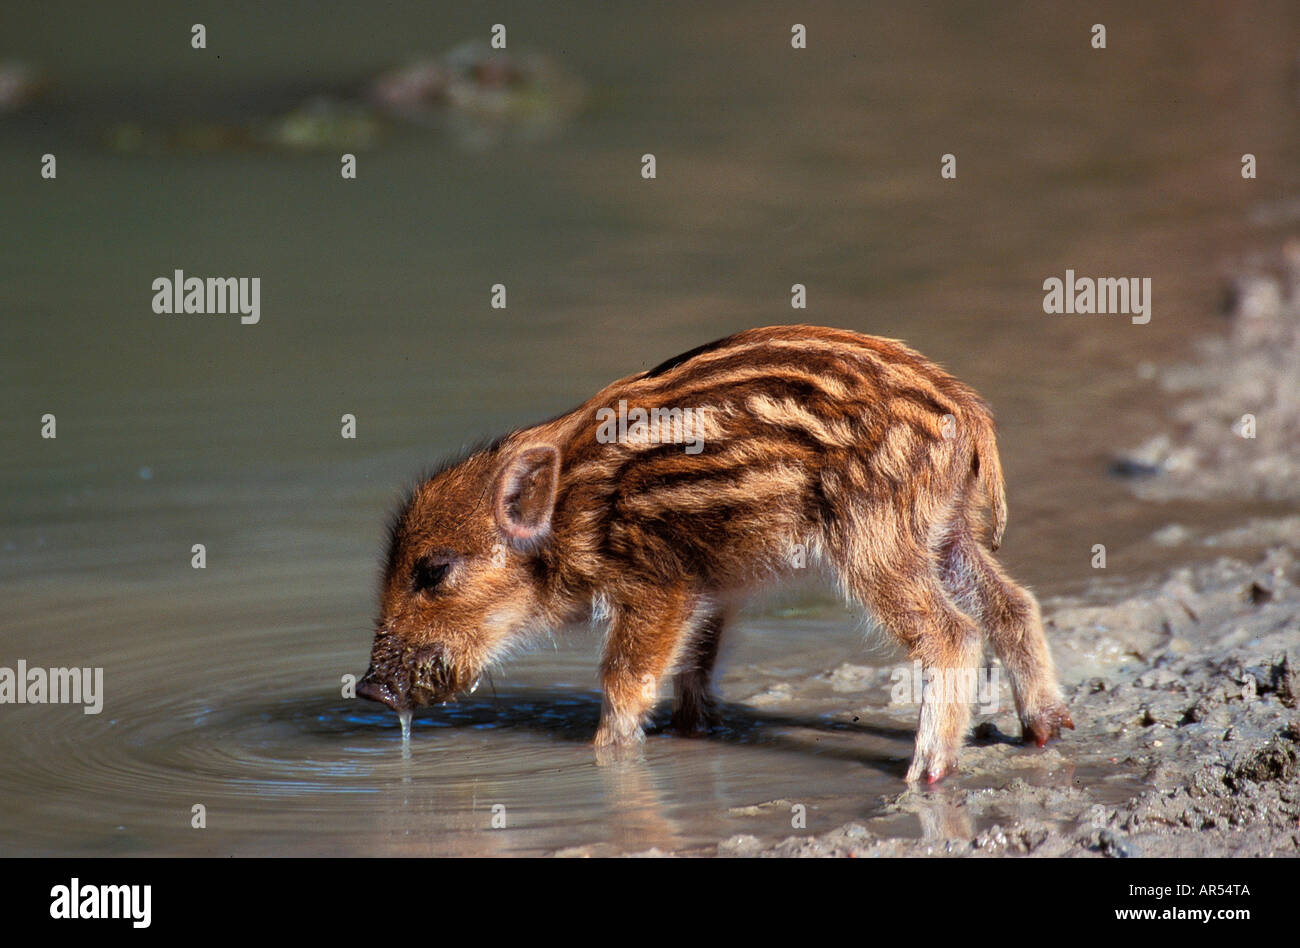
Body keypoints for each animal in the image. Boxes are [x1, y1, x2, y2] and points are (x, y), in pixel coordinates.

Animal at [357, 324, 1073, 782]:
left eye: (434, 570)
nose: (368, 689)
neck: (571, 516)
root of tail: (967, 411)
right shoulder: (708, 586)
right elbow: (694, 669)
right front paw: (689, 734)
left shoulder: (658, 585)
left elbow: (625, 677)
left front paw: (605, 752)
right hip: (947, 533)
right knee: (1012, 604)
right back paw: (1045, 727)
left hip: (877, 540)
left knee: (952, 632)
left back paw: (926, 770)